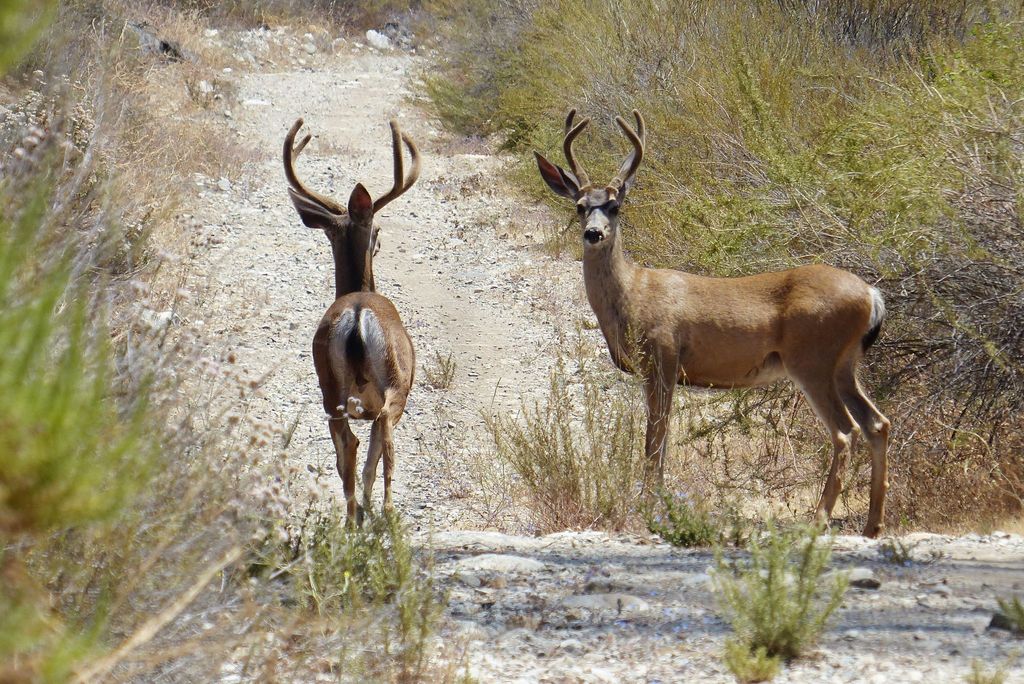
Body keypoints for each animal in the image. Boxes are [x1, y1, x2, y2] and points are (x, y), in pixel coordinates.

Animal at [284, 117, 419, 524]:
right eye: (377, 230)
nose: (380, 241)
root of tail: (358, 315)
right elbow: (374, 457)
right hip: (394, 384)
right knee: (382, 443)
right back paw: (385, 513)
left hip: (329, 389)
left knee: (345, 447)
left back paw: (352, 517)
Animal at [534, 109, 891, 537]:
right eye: (580, 206)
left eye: (616, 205)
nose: (593, 233)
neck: (633, 294)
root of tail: (871, 295)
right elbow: (657, 439)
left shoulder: (663, 357)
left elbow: (655, 440)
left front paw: (649, 506)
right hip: (844, 364)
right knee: (877, 424)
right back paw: (872, 527)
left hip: (812, 360)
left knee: (845, 431)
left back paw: (817, 521)